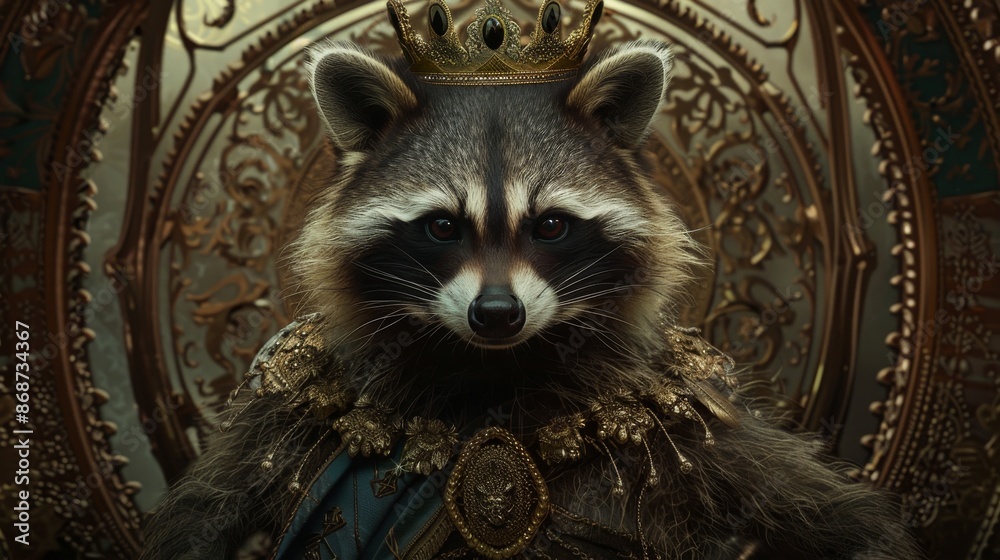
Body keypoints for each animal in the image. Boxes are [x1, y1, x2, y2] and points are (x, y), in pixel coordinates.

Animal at [140, 38, 921, 560]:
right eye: (442, 226)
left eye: (550, 226)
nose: (496, 314)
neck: (491, 367)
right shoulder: (283, 396)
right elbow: (202, 512)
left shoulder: (694, 408)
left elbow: (834, 518)